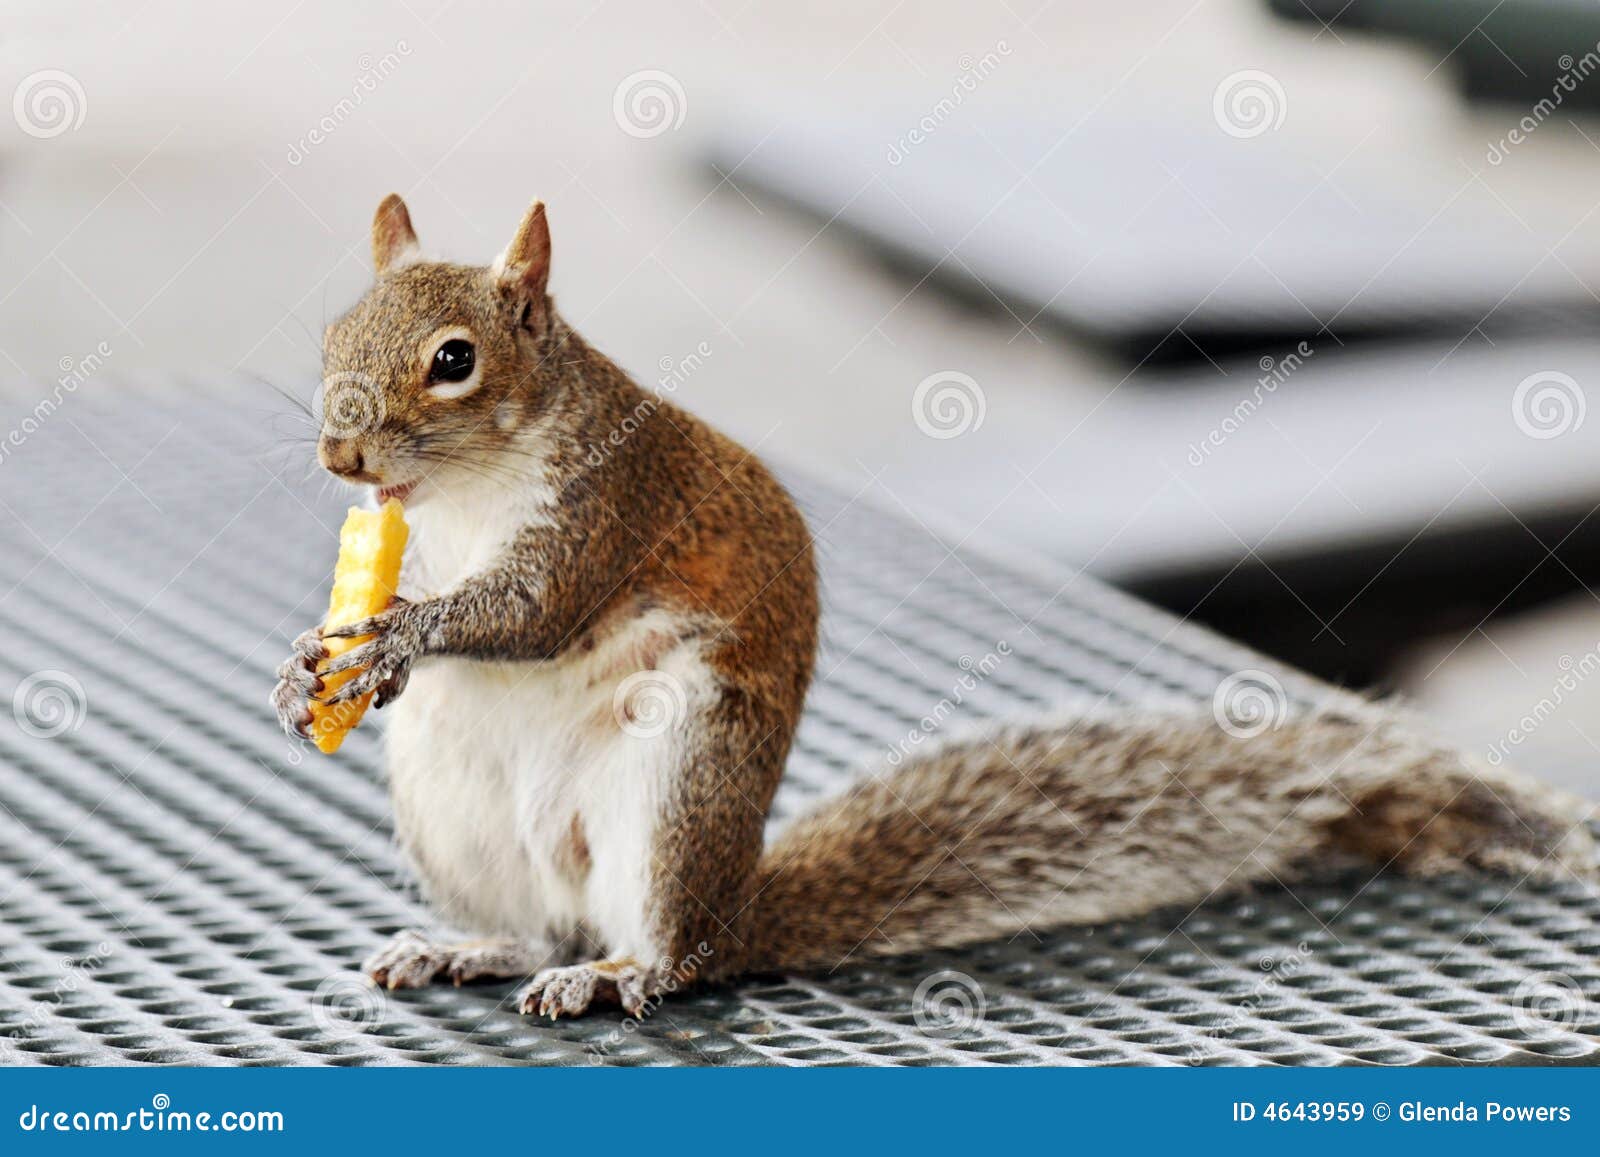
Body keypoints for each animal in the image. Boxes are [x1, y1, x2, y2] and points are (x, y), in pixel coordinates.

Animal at [272, 194, 1598, 1019]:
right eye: (331, 330)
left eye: (454, 359)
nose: (339, 455)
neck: (464, 490)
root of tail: (735, 905)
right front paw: (307, 662)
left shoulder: (606, 504)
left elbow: (531, 610)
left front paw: (398, 634)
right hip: (453, 803)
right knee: (541, 927)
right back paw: (472, 943)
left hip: (672, 782)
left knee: (668, 953)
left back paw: (619, 971)